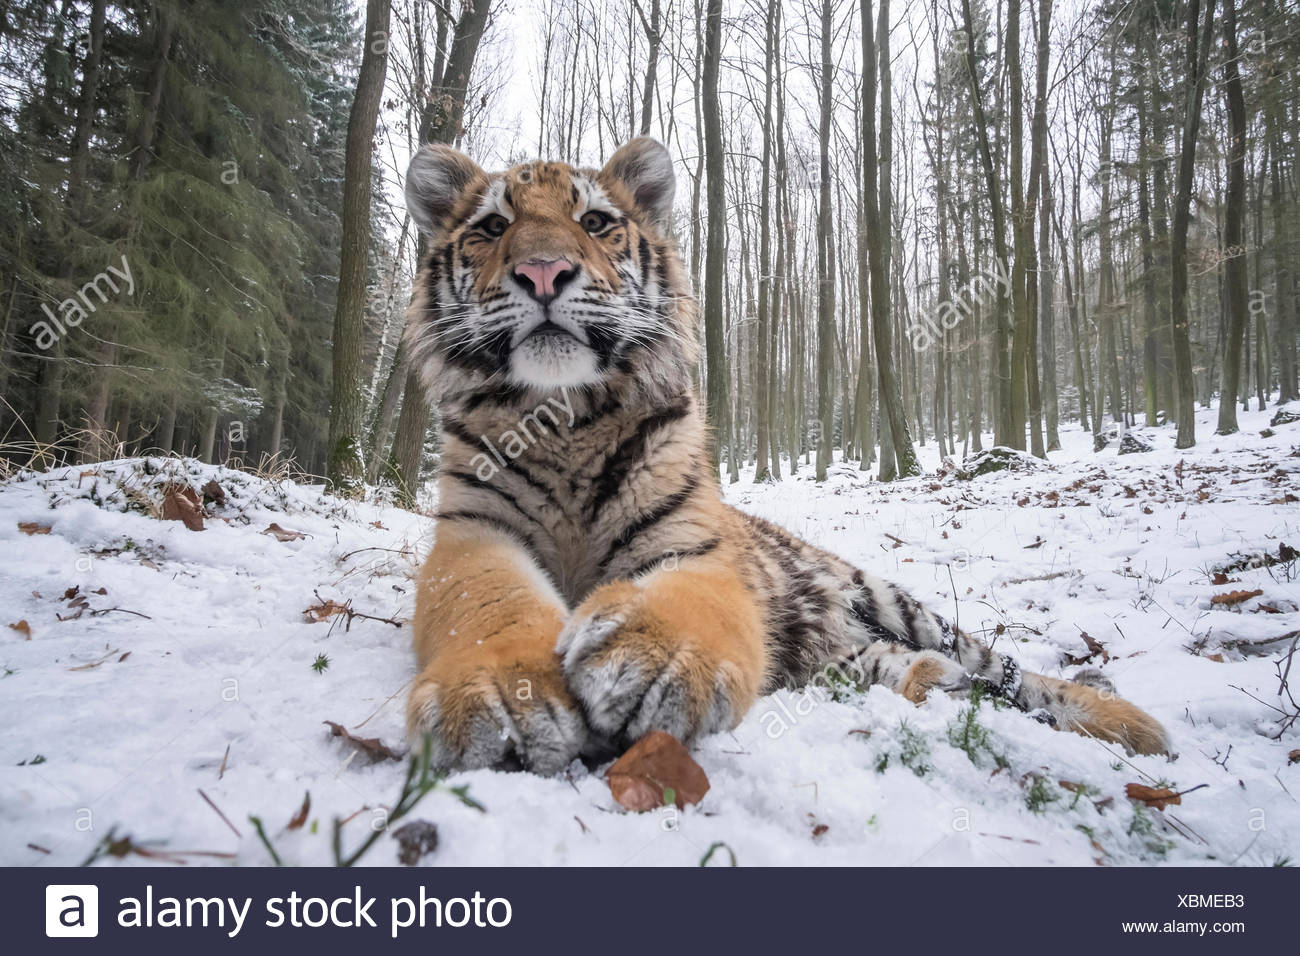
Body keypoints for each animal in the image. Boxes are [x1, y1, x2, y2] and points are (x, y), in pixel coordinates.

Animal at [399, 136, 1169, 775]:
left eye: (593, 222)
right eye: (492, 228)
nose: (543, 270)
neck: (564, 417)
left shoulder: (690, 538)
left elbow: (687, 600)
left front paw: (653, 657)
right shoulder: (475, 533)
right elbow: (488, 602)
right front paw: (505, 693)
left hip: (892, 597)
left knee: (1008, 668)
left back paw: (1132, 724)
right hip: (842, 652)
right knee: (920, 669)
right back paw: (934, 682)